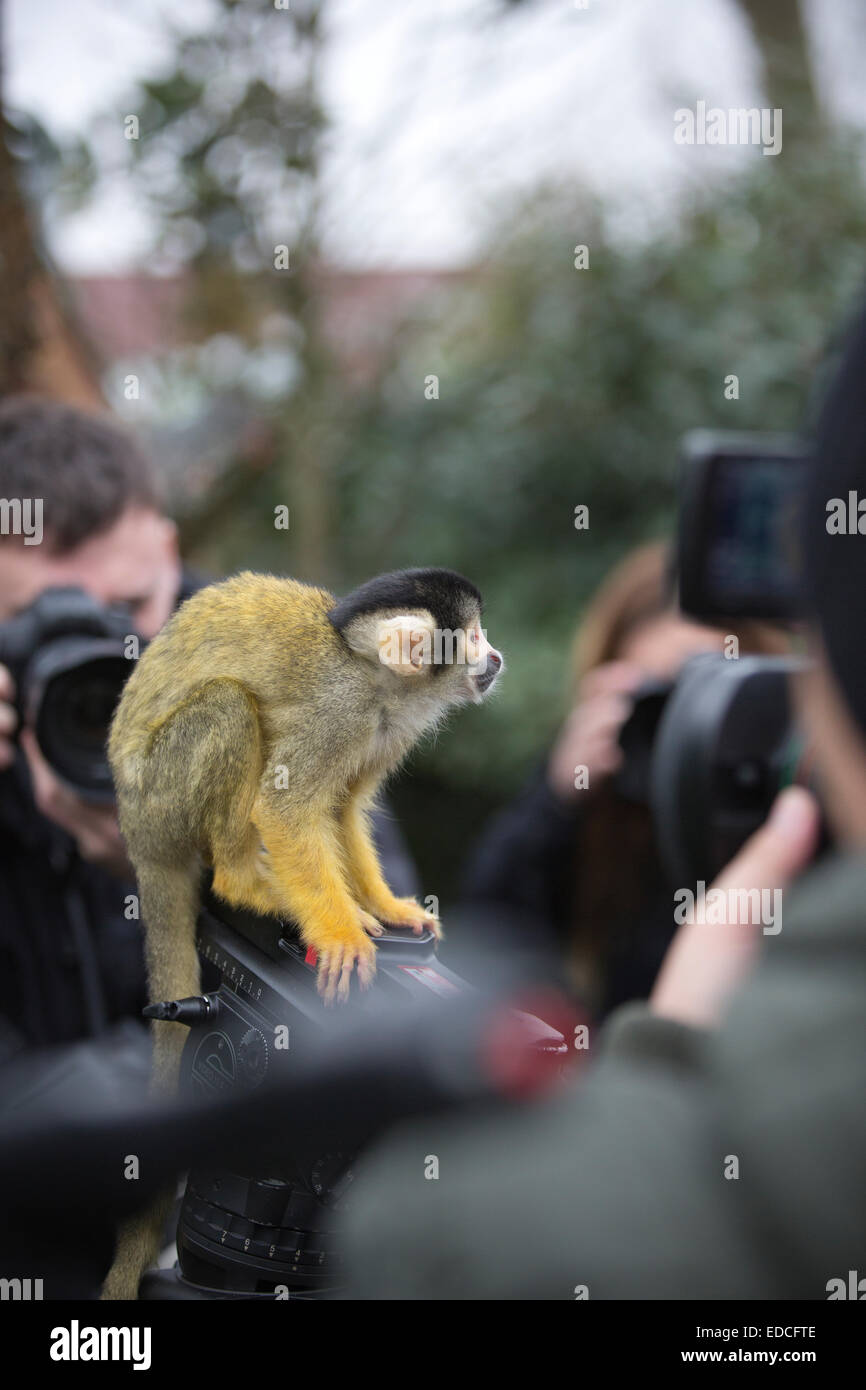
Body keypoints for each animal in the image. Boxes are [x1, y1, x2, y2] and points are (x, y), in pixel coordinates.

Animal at [99, 566, 502, 1299]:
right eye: (474, 636)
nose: (495, 657)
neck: (375, 681)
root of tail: (136, 832)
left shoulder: (383, 728)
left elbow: (343, 809)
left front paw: (386, 908)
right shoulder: (338, 713)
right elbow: (289, 808)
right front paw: (341, 936)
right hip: (159, 795)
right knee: (228, 708)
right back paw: (242, 881)